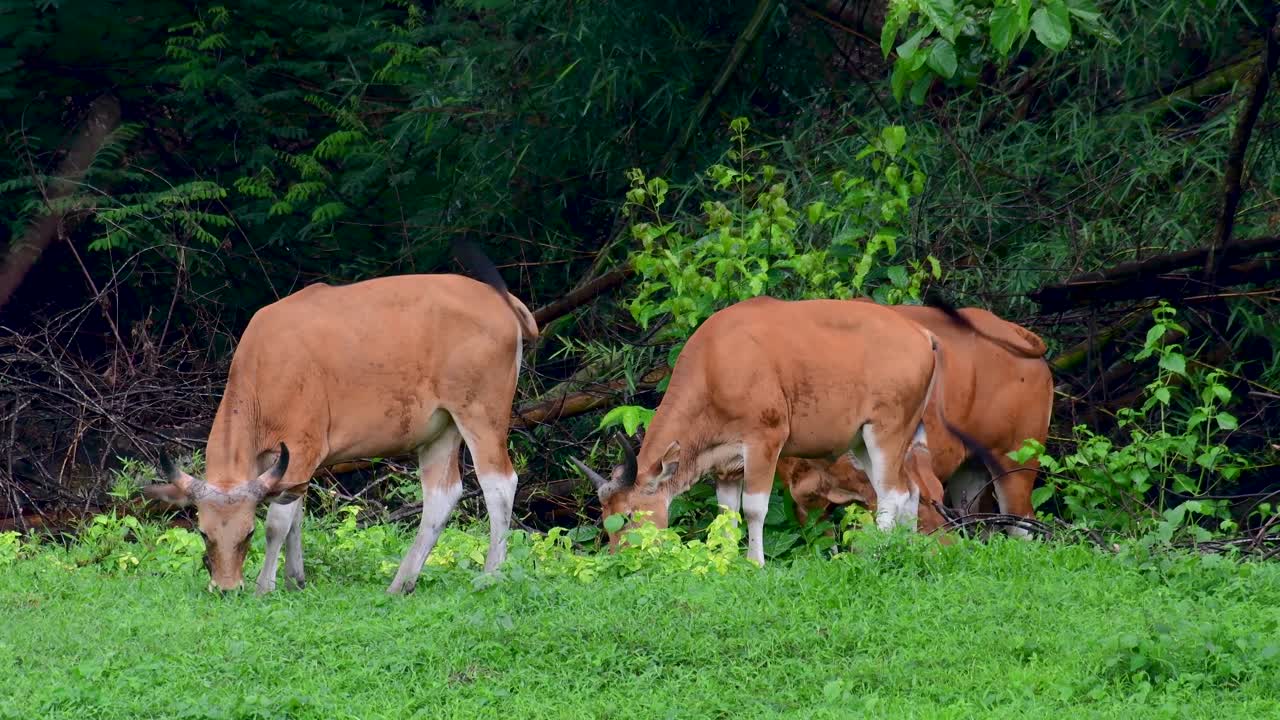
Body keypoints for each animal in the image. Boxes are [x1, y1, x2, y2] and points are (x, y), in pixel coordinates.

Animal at [140, 241, 538, 594]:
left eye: (247, 532)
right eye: (204, 532)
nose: (225, 588)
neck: (266, 367)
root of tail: (500, 300)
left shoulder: (302, 447)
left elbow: (279, 522)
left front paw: (265, 586)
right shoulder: (285, 463)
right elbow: (295, 515)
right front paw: (295, 579)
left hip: (482, 413)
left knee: (499, 485)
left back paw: (490, 576)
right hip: (441, 429)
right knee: (442, 495)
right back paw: (401, 583)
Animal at [571, 295, 1001, 566]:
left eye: (628, 515)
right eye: (604, 518)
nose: (619, 558)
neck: (716, 365)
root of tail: (924, 337)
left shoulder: (766, 441)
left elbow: (754, 509)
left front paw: (755, 563)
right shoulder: (726, 463)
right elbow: (725, 515)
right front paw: (726, 560)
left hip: (887, 430)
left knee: (891, 493)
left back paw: (882, 550)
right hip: (869, 438)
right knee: (908, 490)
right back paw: (907, 547)